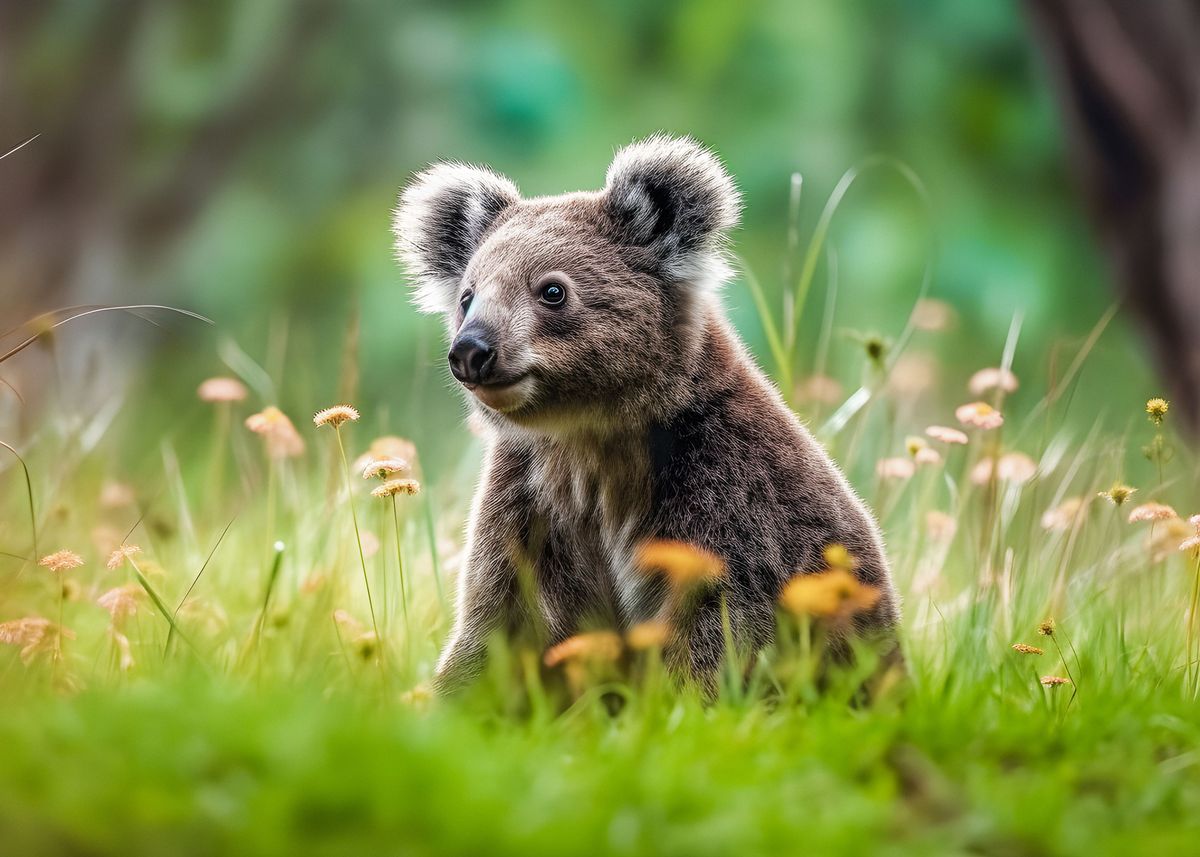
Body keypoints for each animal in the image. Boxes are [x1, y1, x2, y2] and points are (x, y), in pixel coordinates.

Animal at [393, 135, 900, 695]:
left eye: (552, 290)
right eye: (468, 295)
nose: (472, 350)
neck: (595, 443)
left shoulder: (722, 497)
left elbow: (717, 625)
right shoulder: (531, 501)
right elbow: (500, 624)